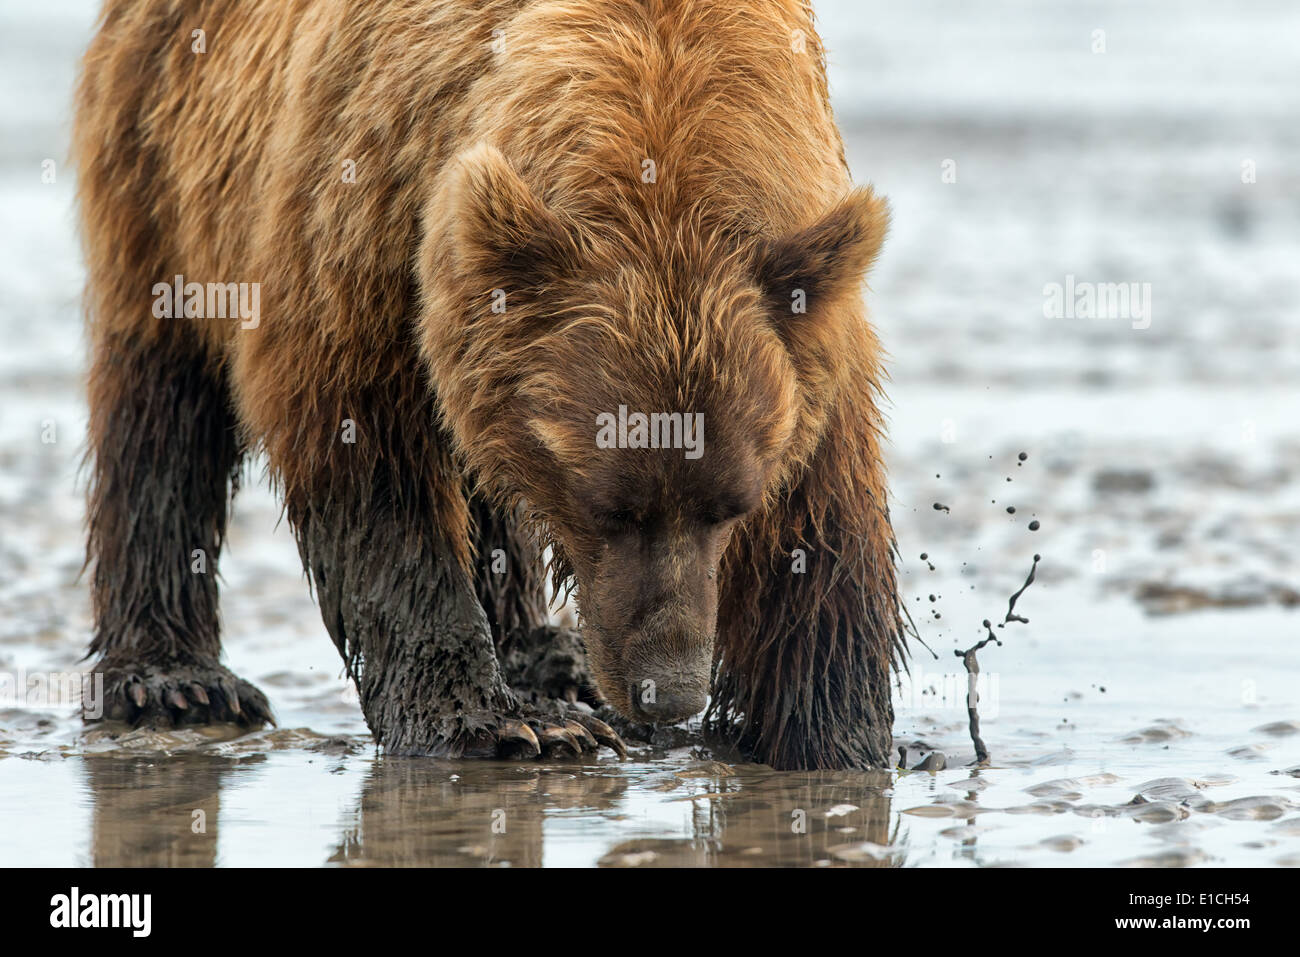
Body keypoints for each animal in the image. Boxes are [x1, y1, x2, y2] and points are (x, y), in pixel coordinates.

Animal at [72, 0, 905, 770]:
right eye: (608, 504)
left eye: (732, 502)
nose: (665, 692)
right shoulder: (372, 203)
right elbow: (365, 453)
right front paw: (495, 721)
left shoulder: (801, 314)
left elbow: (822, 521)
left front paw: (833, 734)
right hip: (163, 155)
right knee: (162, 408)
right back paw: (174, 679)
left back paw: (547, 657)